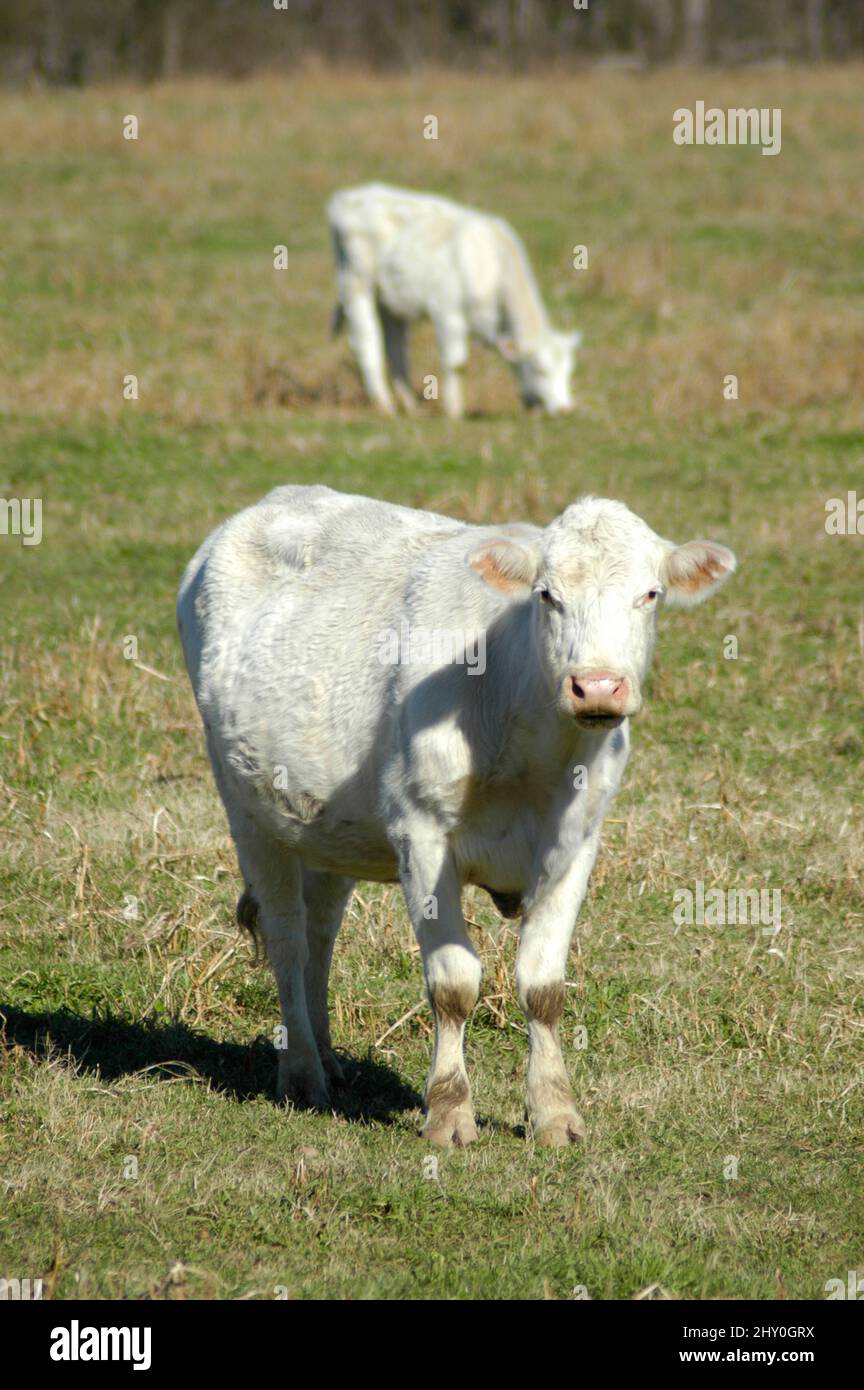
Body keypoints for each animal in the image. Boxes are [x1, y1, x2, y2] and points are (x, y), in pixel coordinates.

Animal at [177, 485, 736, 1146]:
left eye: (651, 594)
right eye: (546, 595)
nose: (597, 686)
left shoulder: (578, 842)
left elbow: (544, 986)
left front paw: (554, 1113)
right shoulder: (422, 837)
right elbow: (453, 983)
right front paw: (448, 1111)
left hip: (324, 824)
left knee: (320, 933)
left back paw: (330, 1058)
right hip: (248, 809)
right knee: (287, 937)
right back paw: (302, 1073)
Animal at [328, 183, 581, 419]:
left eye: (569, 371)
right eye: (540, 369)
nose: (565, 409)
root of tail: (350, 196)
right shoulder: (447, 312)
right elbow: (456, 363)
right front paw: (454, 412)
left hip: (392, 303)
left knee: (395, 347)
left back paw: (410, 403)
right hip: (356, 284)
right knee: (367, 342)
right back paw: (384, 404)